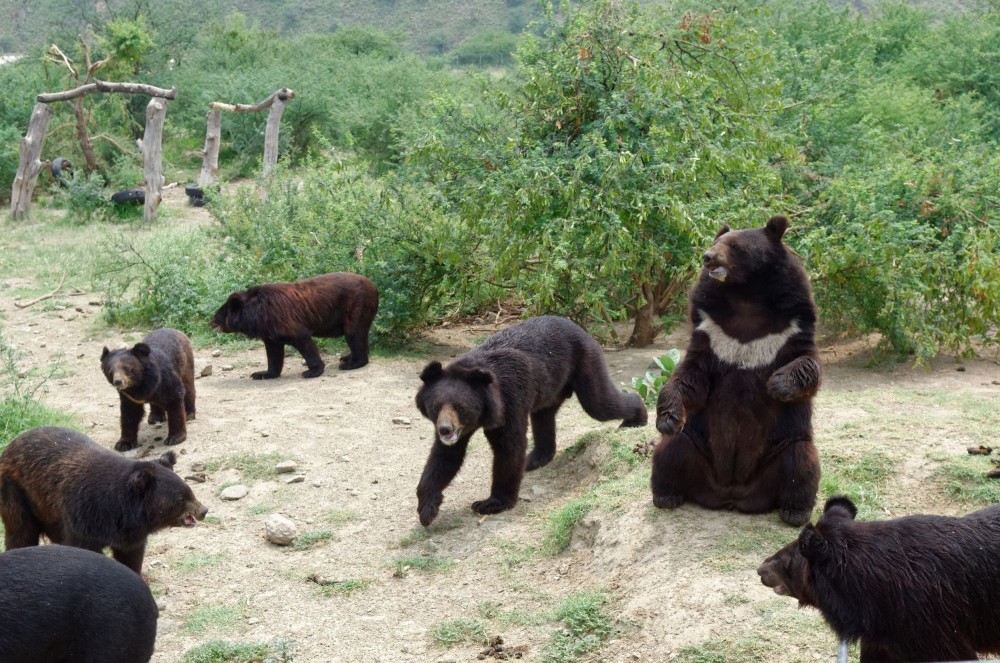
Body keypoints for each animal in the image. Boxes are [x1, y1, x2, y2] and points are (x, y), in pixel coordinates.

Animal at [0, 426, 208, 574]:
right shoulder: (82, 518)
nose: (203, 510)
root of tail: (9, 446)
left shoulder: (130, 535)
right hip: (16, 494)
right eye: (180, 498)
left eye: (190, 491)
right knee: (21, 532)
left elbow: (131, 556)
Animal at [210, 272, 379, 379]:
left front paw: (313, 371)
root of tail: (373, 285)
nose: (210, 321)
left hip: (357, 305)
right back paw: (347, 357)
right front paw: (262, 373)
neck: (257, 313)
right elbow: (274, 352)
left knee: (354, 333)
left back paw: (352, 363)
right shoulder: (270, 330)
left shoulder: (283, 320)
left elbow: (303, 341)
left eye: (218, 314)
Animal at [414, 315, 648, 526]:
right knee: (544, 418)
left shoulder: (510, 402)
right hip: (548, 388)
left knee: (600, 403)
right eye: (435, 407)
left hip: (585, 362)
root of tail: (580, 329)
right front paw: (427, 510)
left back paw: (638, 416)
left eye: (461, 407)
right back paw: (534, 459)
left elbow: (509, 447)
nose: (445, 430)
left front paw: (490, 503)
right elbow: (446, 456)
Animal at [650, 215, 821, 526]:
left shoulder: (793, 323)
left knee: (801, 463)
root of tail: (731, 495)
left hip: (782, 446)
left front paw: (777, 384)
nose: (707, 257)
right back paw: (667, 496)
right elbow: (691, 376)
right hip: (696, 444)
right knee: (670, 451)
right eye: (715, 241)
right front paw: (667, 419)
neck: (746, 293)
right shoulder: (711, 329)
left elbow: (807, 361)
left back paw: (795, 512)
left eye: (735, 246)